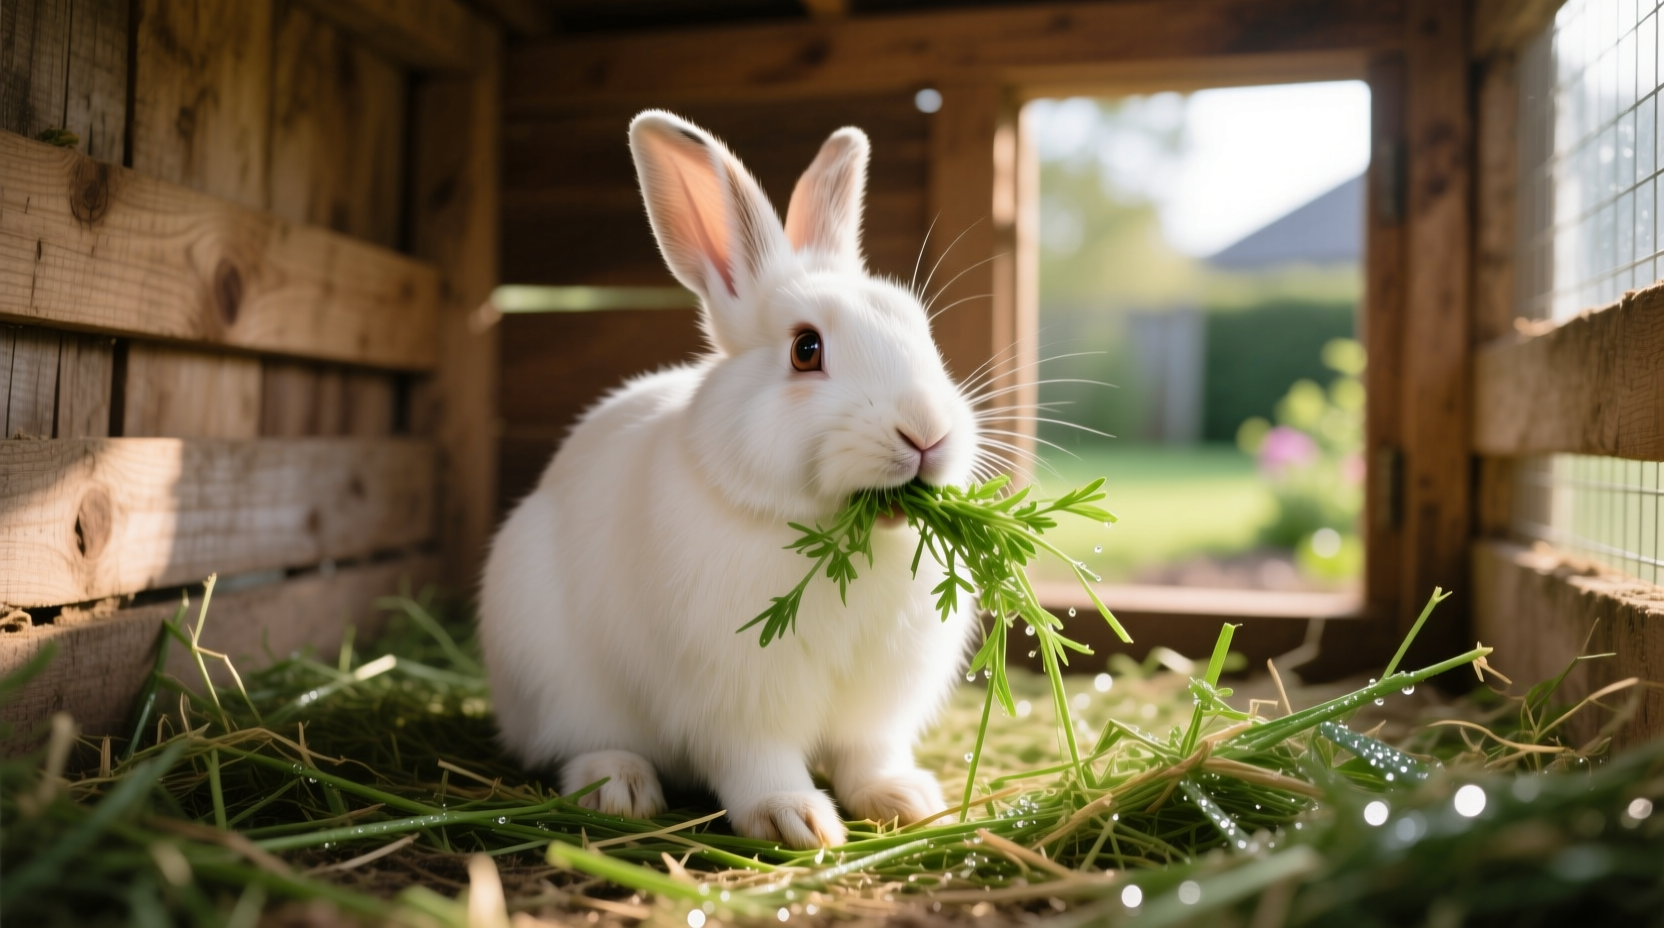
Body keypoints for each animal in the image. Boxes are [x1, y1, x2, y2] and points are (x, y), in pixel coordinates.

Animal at [478, 110, 982, 849]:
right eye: (806, 349)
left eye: (922, 332)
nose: (926, 432)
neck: (835, 540)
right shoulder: (736, 702)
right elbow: (758, 763)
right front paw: (795, 821)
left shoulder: (876, 709)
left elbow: (868, 756)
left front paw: (906, 800)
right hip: (553, 678)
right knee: (575, 741)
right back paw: (620, 788)